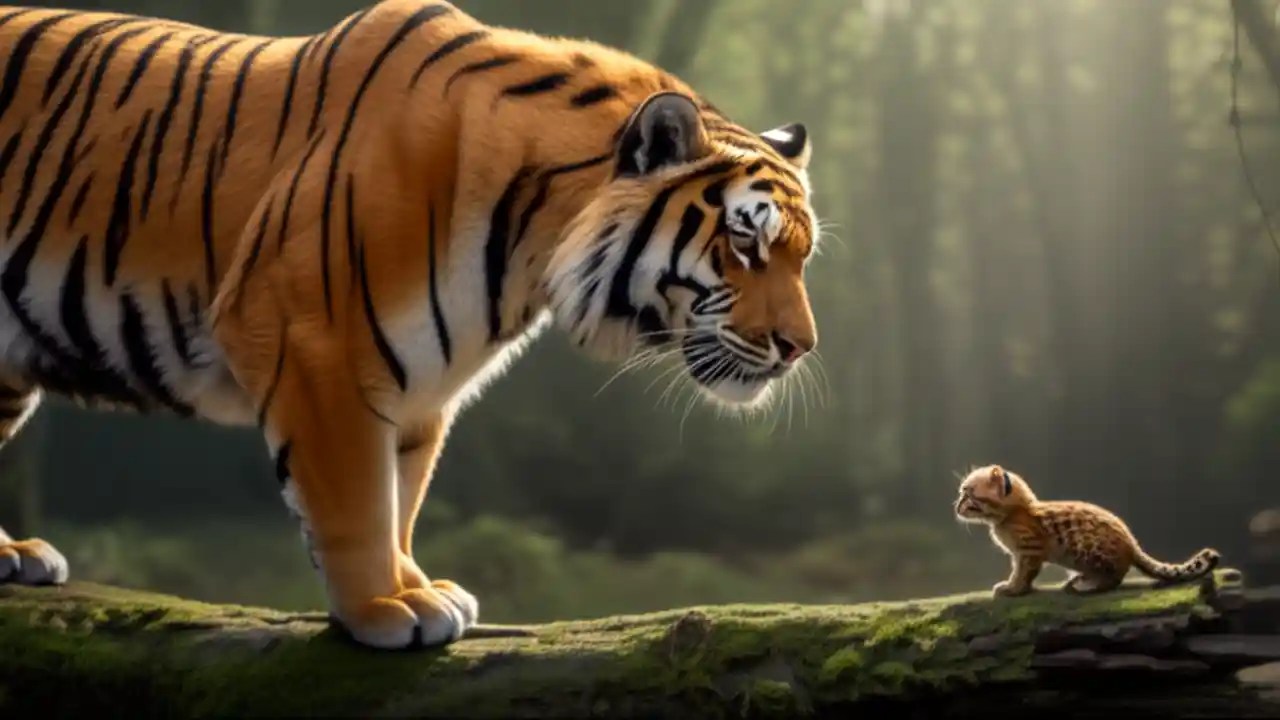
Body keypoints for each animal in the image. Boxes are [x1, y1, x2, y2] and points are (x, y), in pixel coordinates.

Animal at [0, 0, 820, 649]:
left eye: (801, 253)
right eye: (745, 241)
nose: (799, 348)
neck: (530, 246)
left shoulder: (423, 379)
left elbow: (399, 495)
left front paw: (414, 588)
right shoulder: (309, 336)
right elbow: (354, 498)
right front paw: (381, 609)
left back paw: (12, 555)